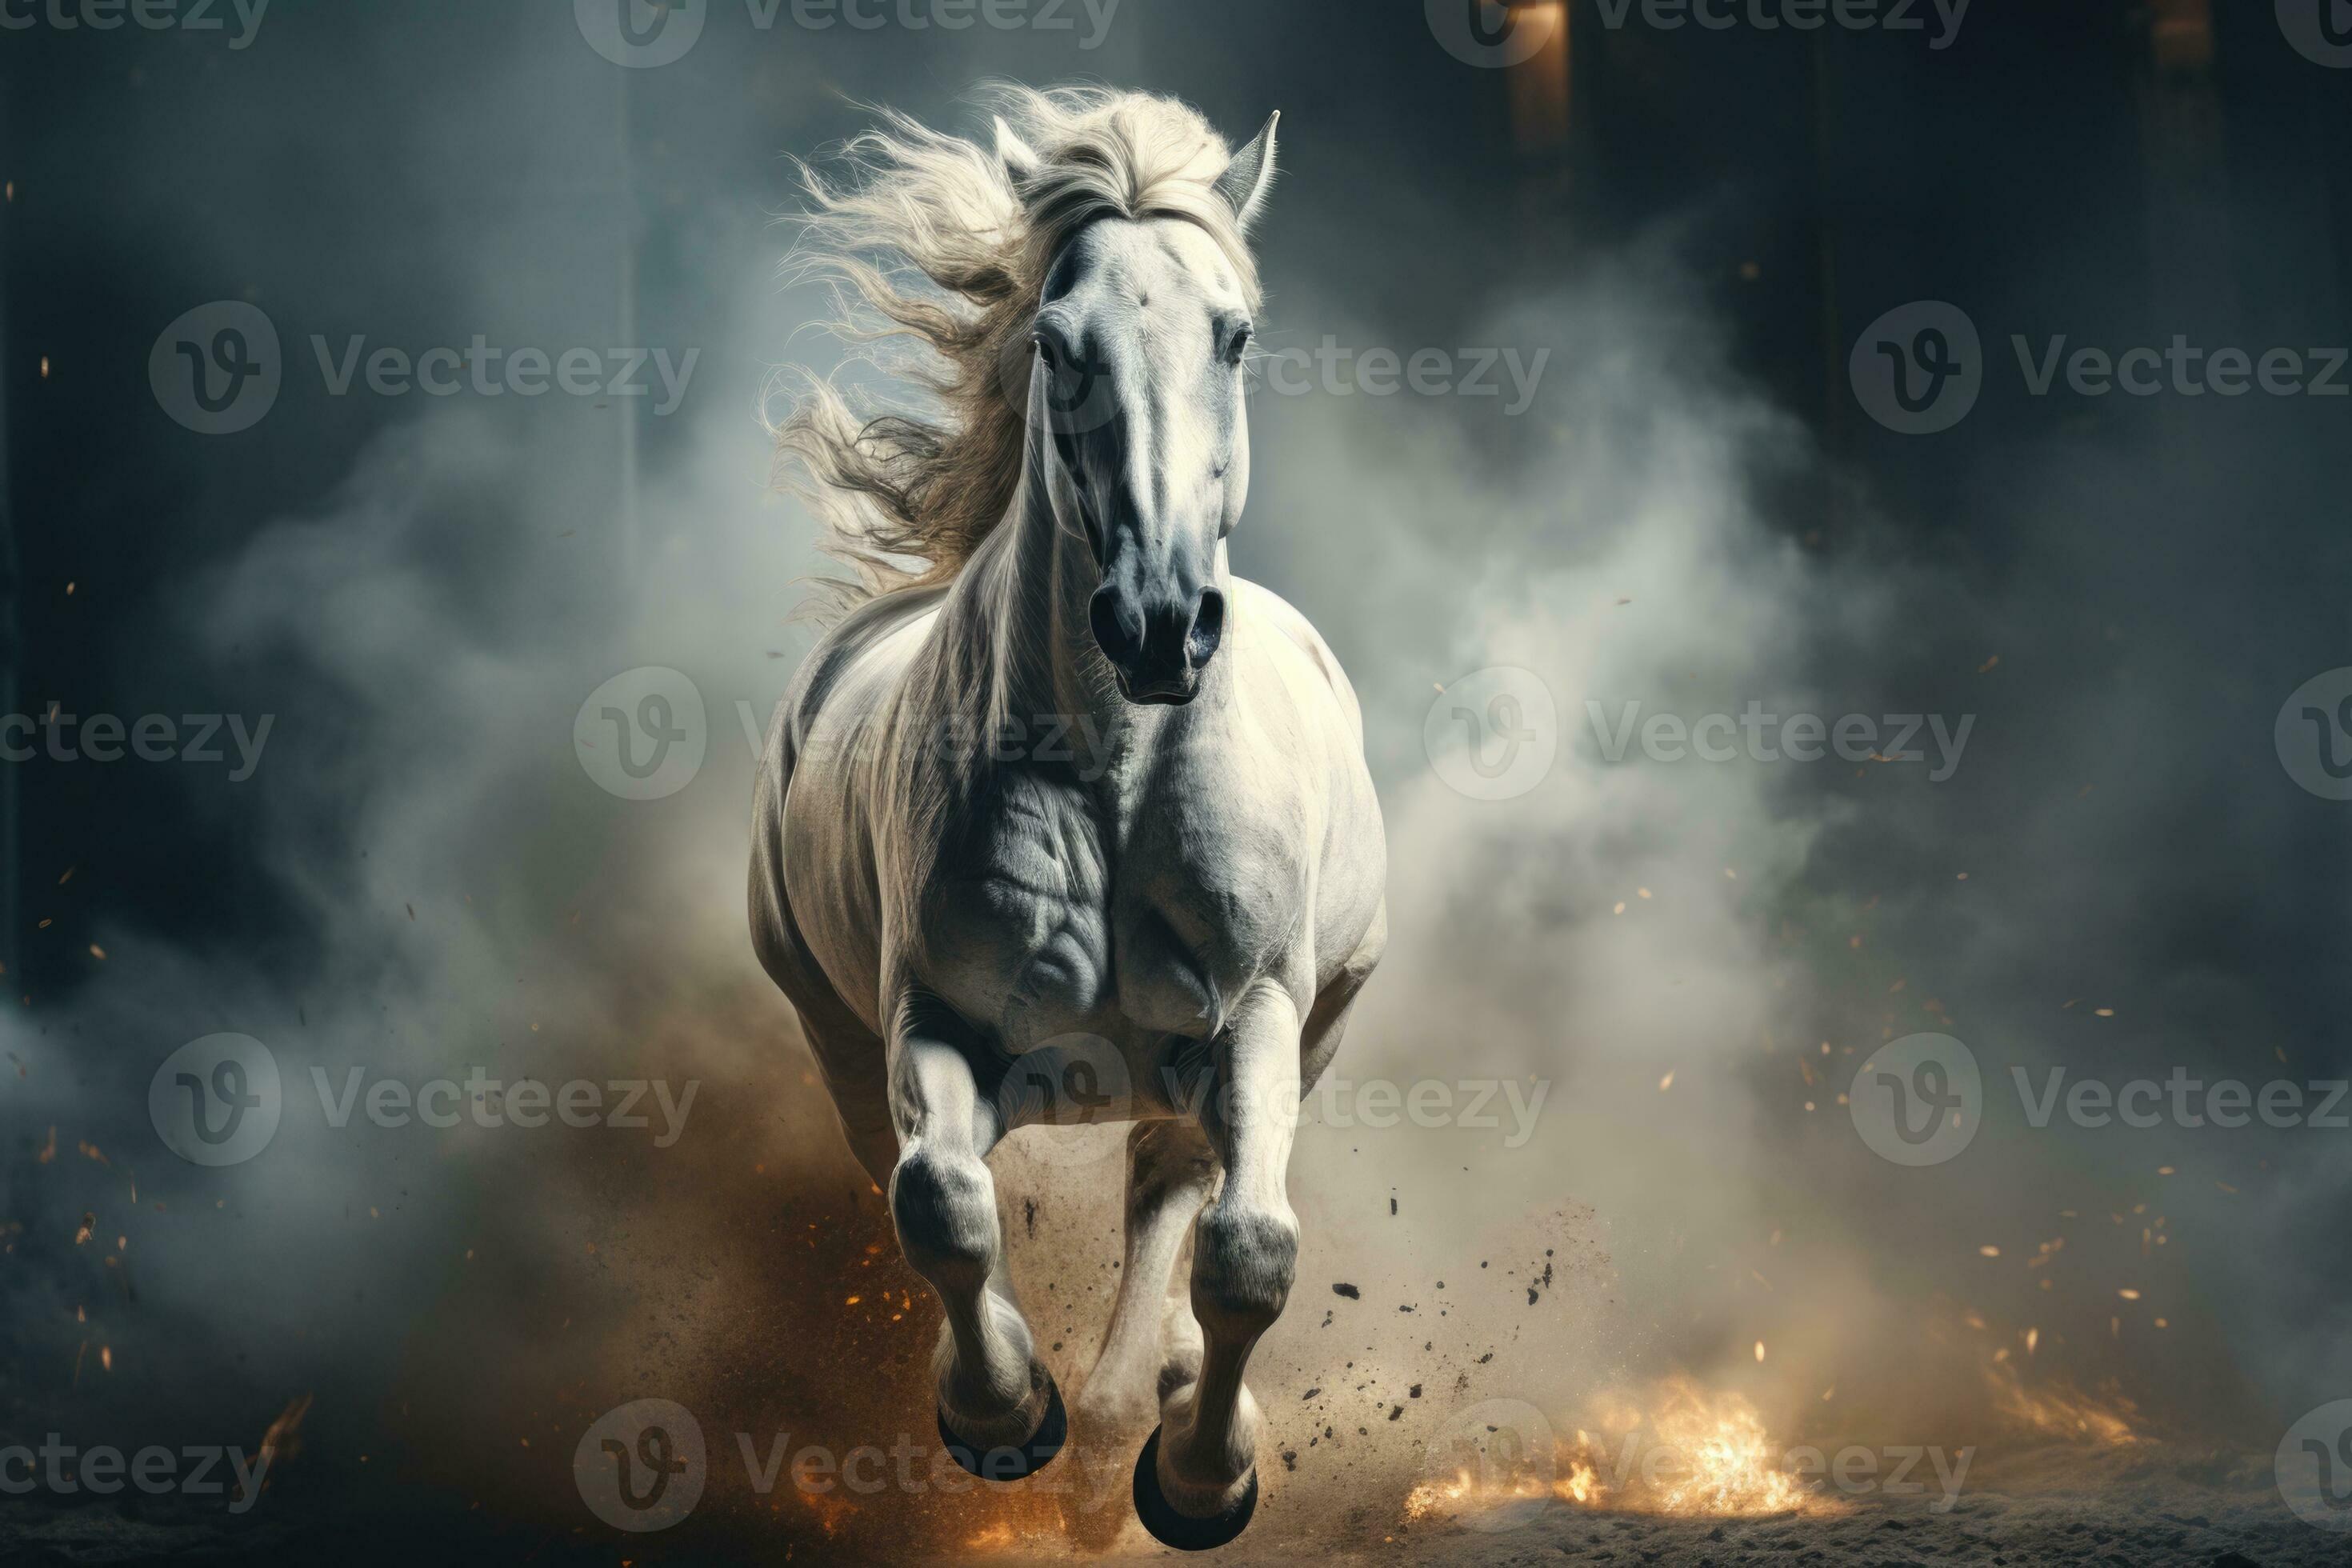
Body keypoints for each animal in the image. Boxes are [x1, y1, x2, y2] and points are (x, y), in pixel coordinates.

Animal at [750, 86, 1387, 1549]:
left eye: (1235, 332)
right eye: (1054, 340)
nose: (1159, 621)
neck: (1115, 777)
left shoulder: (1258, 1014)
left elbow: (1250, 1253)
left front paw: (1201, 1480)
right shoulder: (931, 1027)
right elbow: (941, 1205)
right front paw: (1002, 1412)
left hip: (1291, 1038)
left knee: (1181, 1194)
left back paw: (1150, 1419)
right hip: (831, 1031)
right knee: (928, 1177)